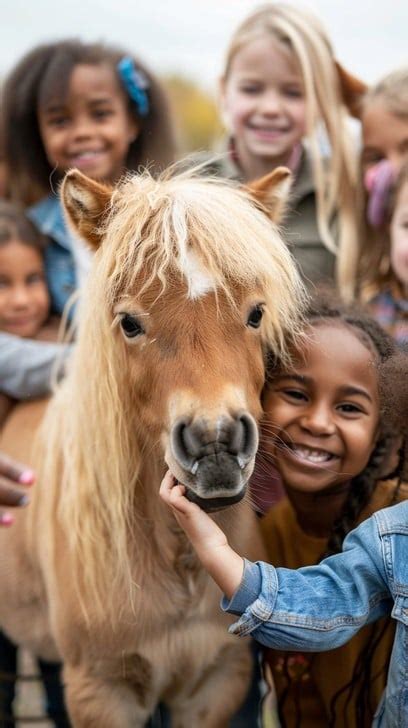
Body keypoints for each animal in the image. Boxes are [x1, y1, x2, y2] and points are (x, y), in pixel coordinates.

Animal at [0, 166, 305, 727]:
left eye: (256, 314)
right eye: (129, 323)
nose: (215, 443)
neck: (174, 560)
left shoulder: (214, 682)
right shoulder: (101, 692)